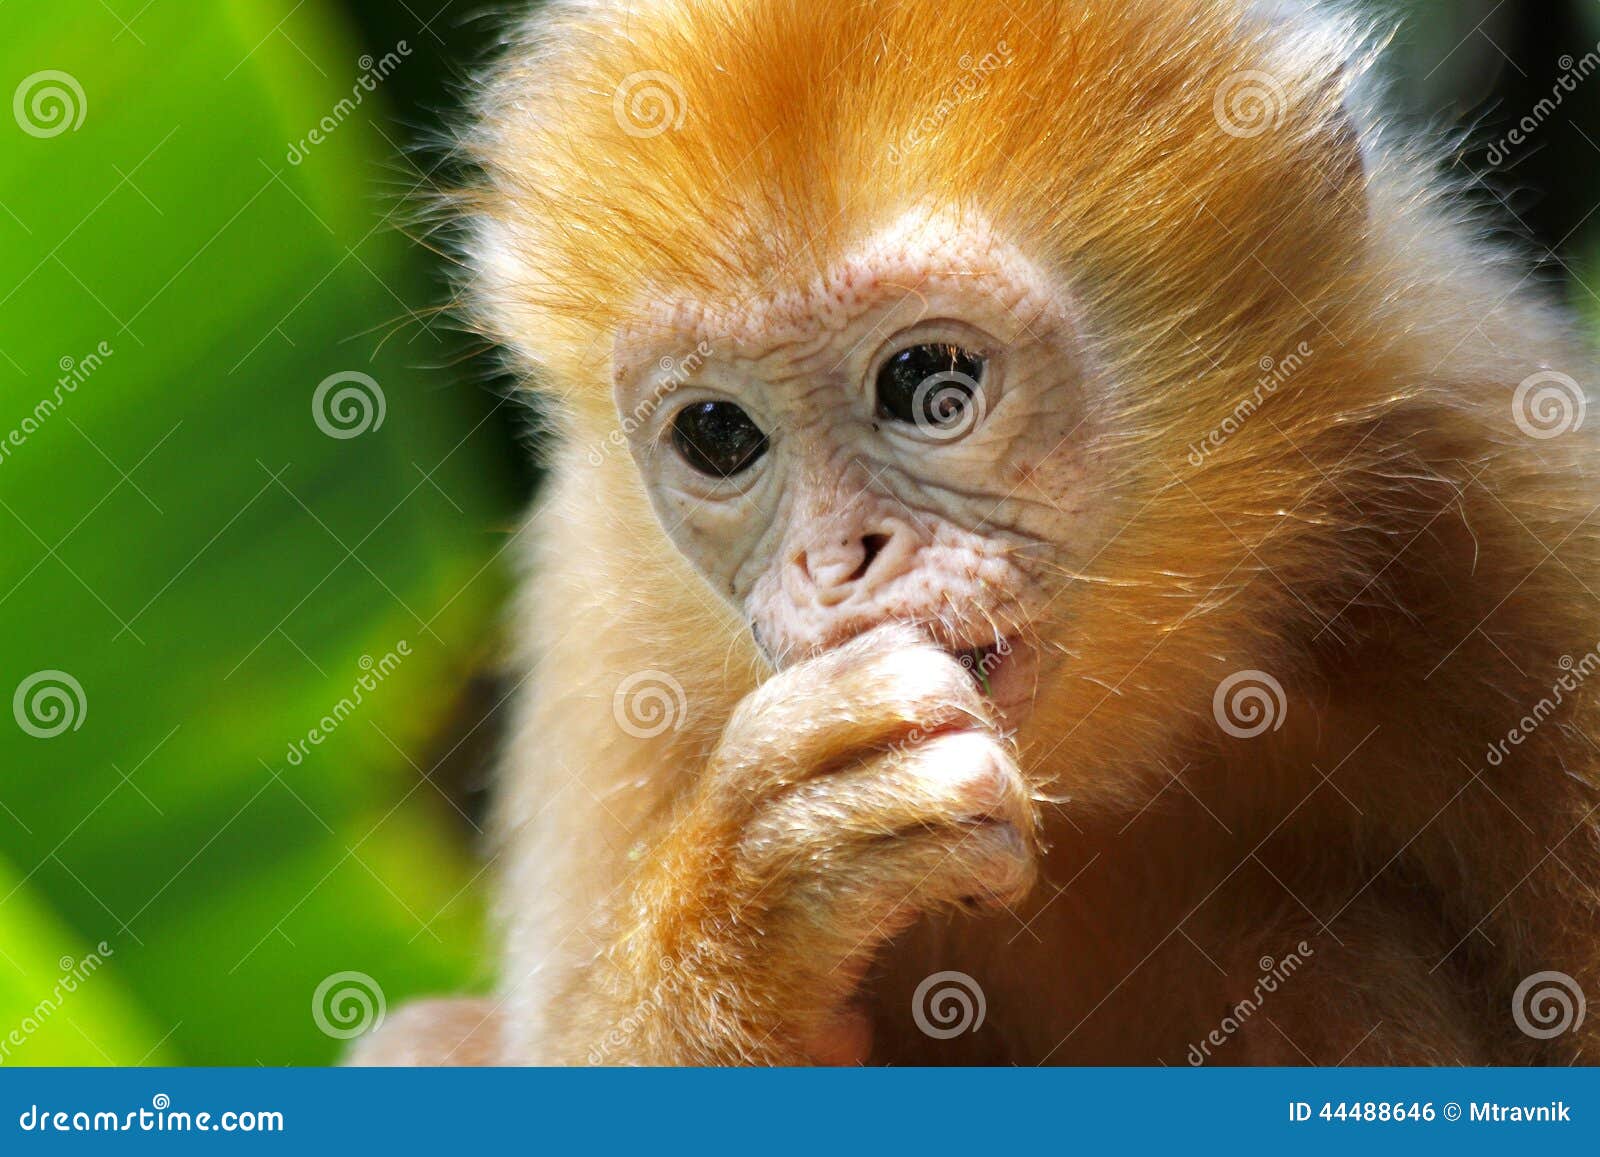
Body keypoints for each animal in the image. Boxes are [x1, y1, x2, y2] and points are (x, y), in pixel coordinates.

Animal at [350, 0, 1600, 1066]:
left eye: (929, 382)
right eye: (716, 434)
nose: (836, 561)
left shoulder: (1507, 496)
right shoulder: (600, 607)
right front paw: (759, 893)